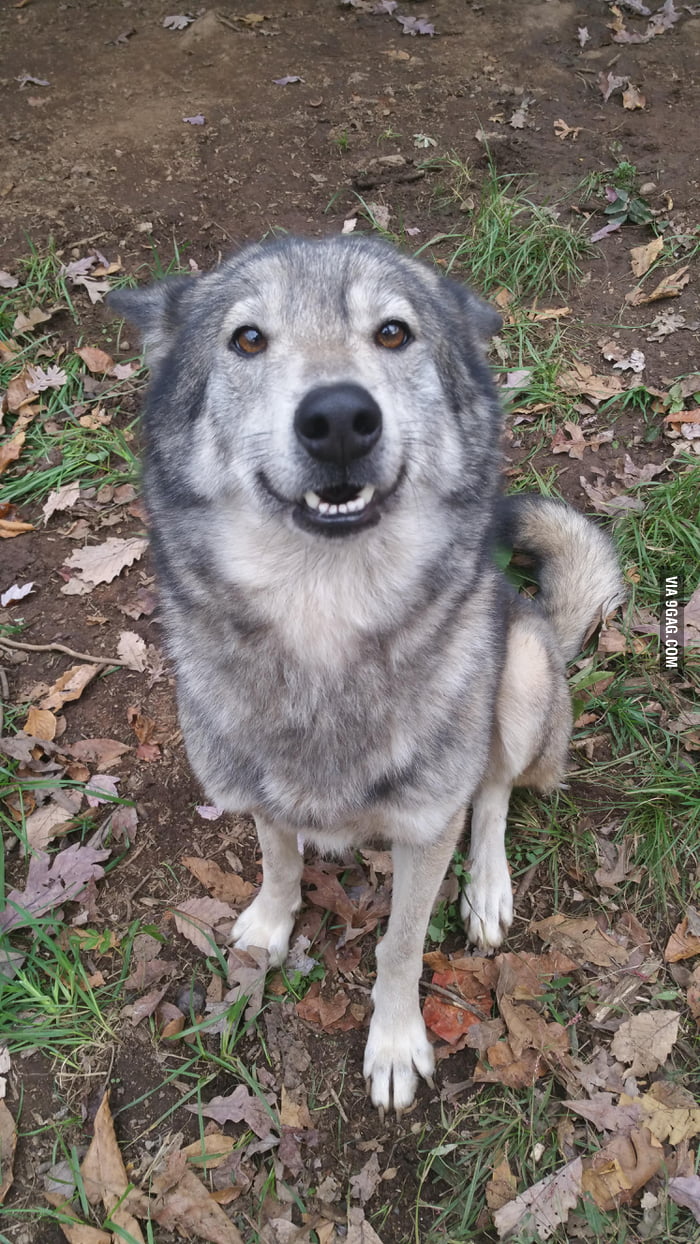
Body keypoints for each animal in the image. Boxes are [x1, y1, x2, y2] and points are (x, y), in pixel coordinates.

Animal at [108, 235, 624, 1113]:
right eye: (248, 339)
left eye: (392, 333)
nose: (339, 418)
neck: (325, 626)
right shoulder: (258, 792)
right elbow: (280, 860)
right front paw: (270, 923)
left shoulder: (425, 830)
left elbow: (400, 945)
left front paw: (393, 1043)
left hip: (518, 673)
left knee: (493, 792)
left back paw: (487, 888)